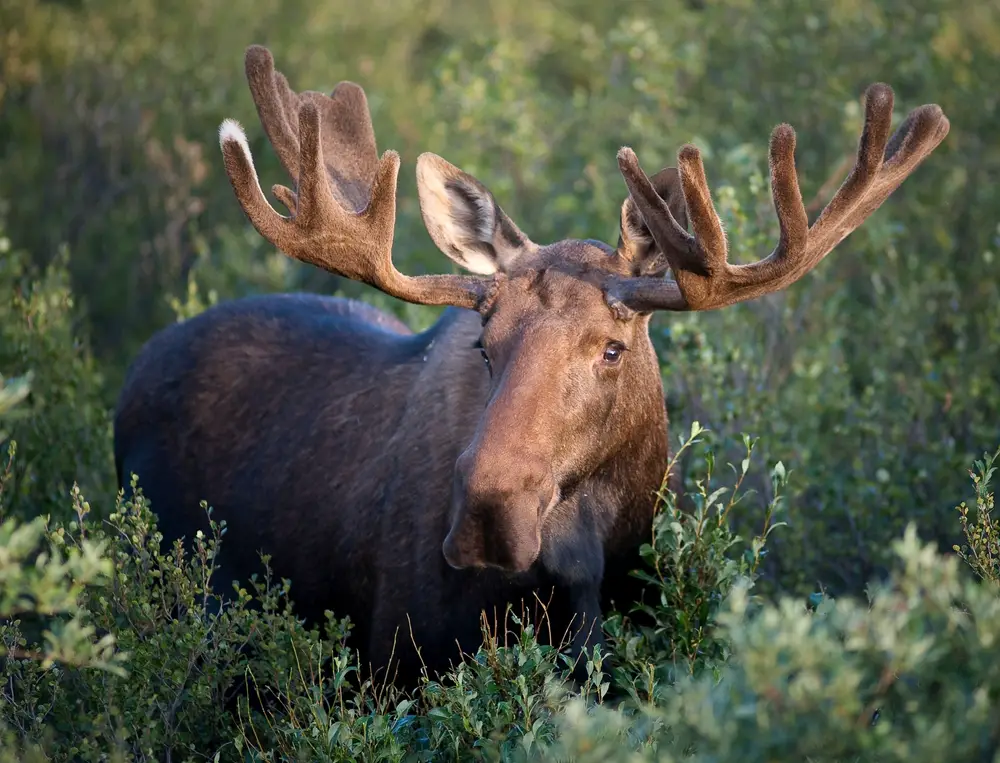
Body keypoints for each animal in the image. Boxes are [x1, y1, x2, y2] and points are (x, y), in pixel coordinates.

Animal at [113, 44, 949, 689]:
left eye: (612, 347)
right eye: (484, 342)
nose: (489, 513)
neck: (583, 572)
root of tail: (141, 360)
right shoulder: (393, 667)